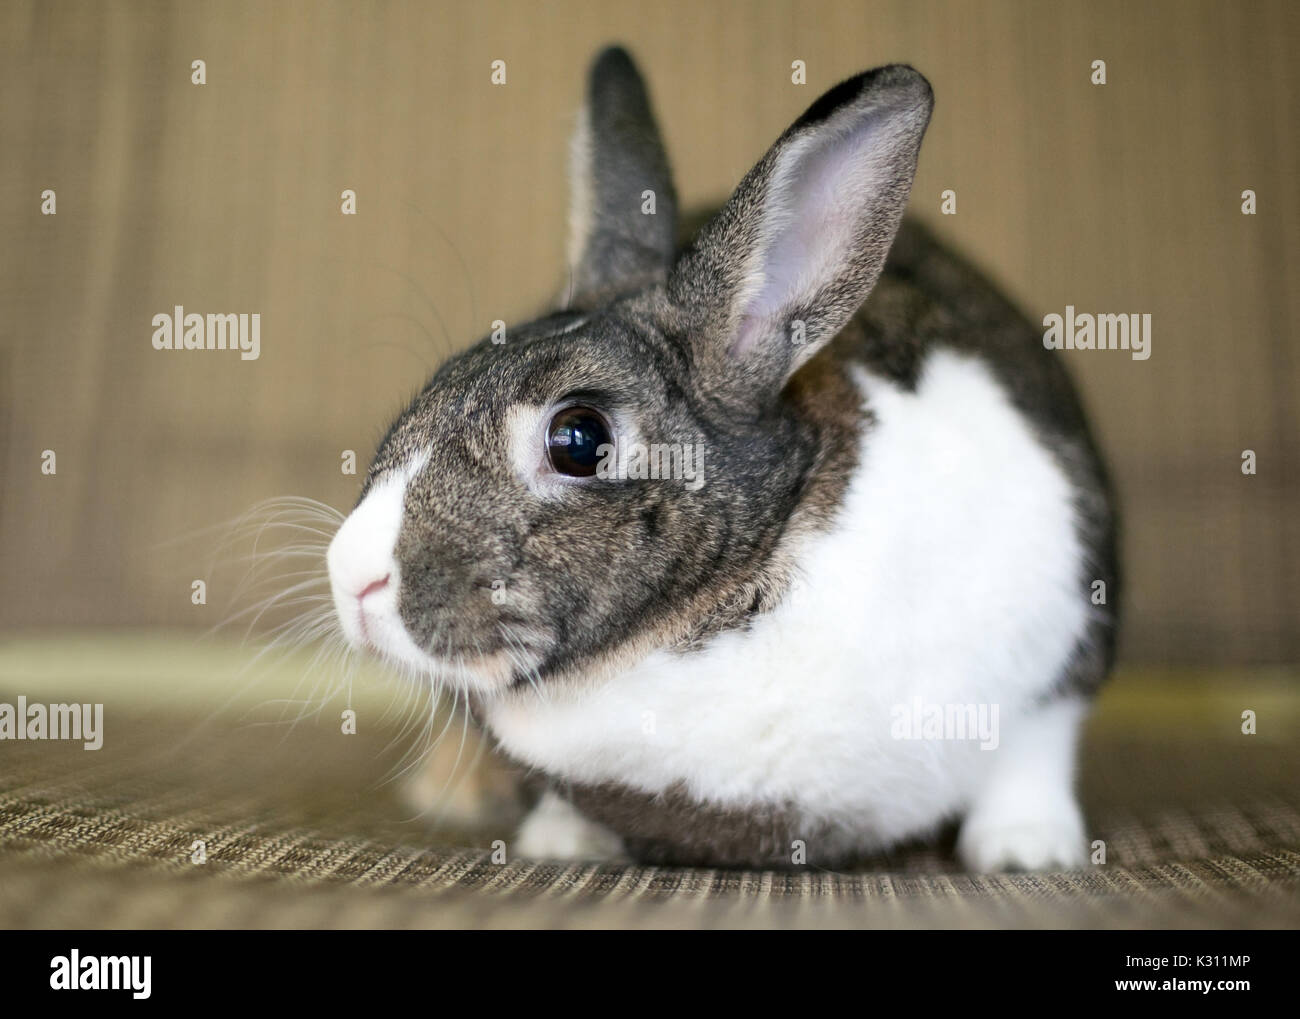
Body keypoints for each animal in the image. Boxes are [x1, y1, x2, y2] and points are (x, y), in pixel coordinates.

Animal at [326, 46, 1118, 871]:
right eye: (446, 375)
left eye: (579, 439)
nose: (350, 574)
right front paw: (565, 837)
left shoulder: (1061, 655)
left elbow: (1033, 754)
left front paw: (1027, 850)